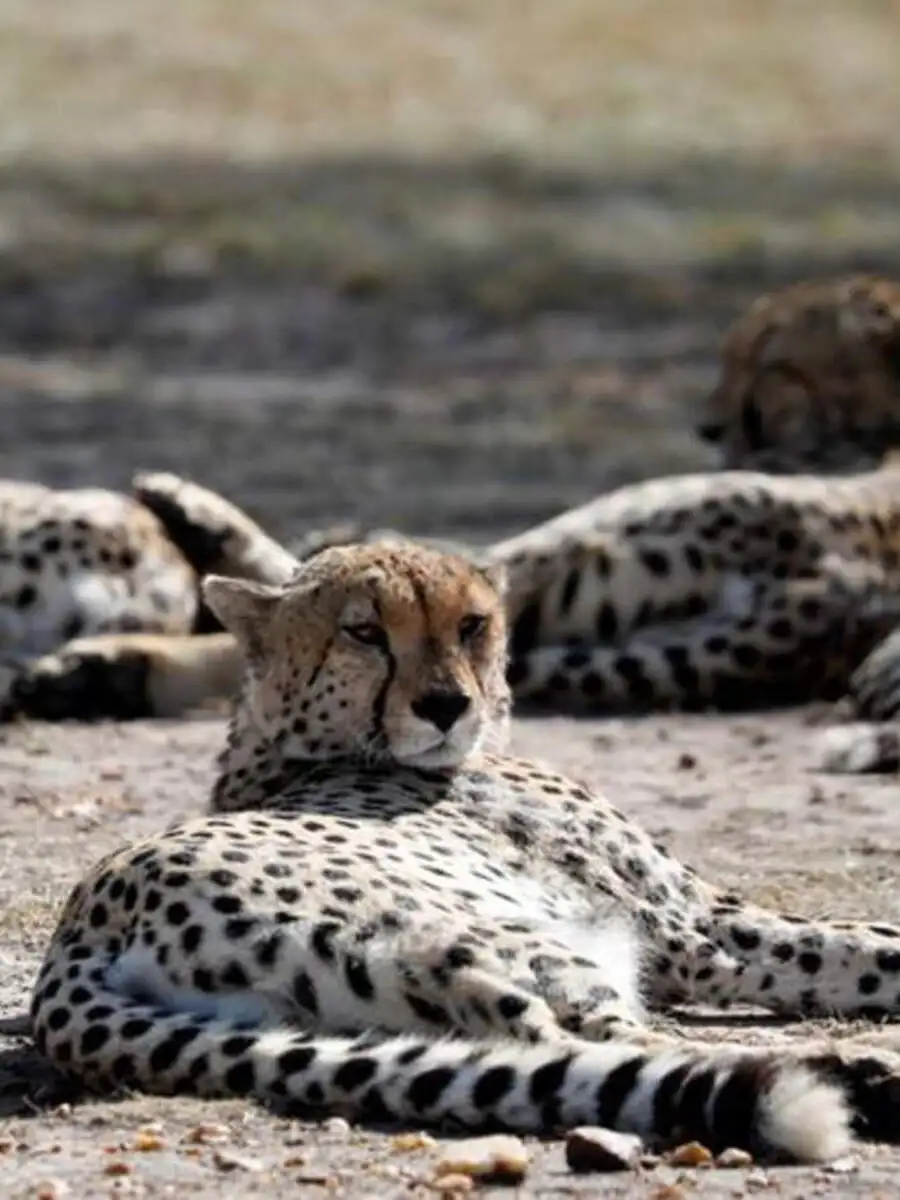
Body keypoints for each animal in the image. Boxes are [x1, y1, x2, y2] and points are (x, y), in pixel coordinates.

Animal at [26, 538, 900, 1160]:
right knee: (593, 1045)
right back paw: (858, 1074)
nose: (446, 706)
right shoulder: (699, 926)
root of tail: (82, 927)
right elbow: (868, 946)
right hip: (493, 939)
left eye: (471, 627)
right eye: (364, 633)